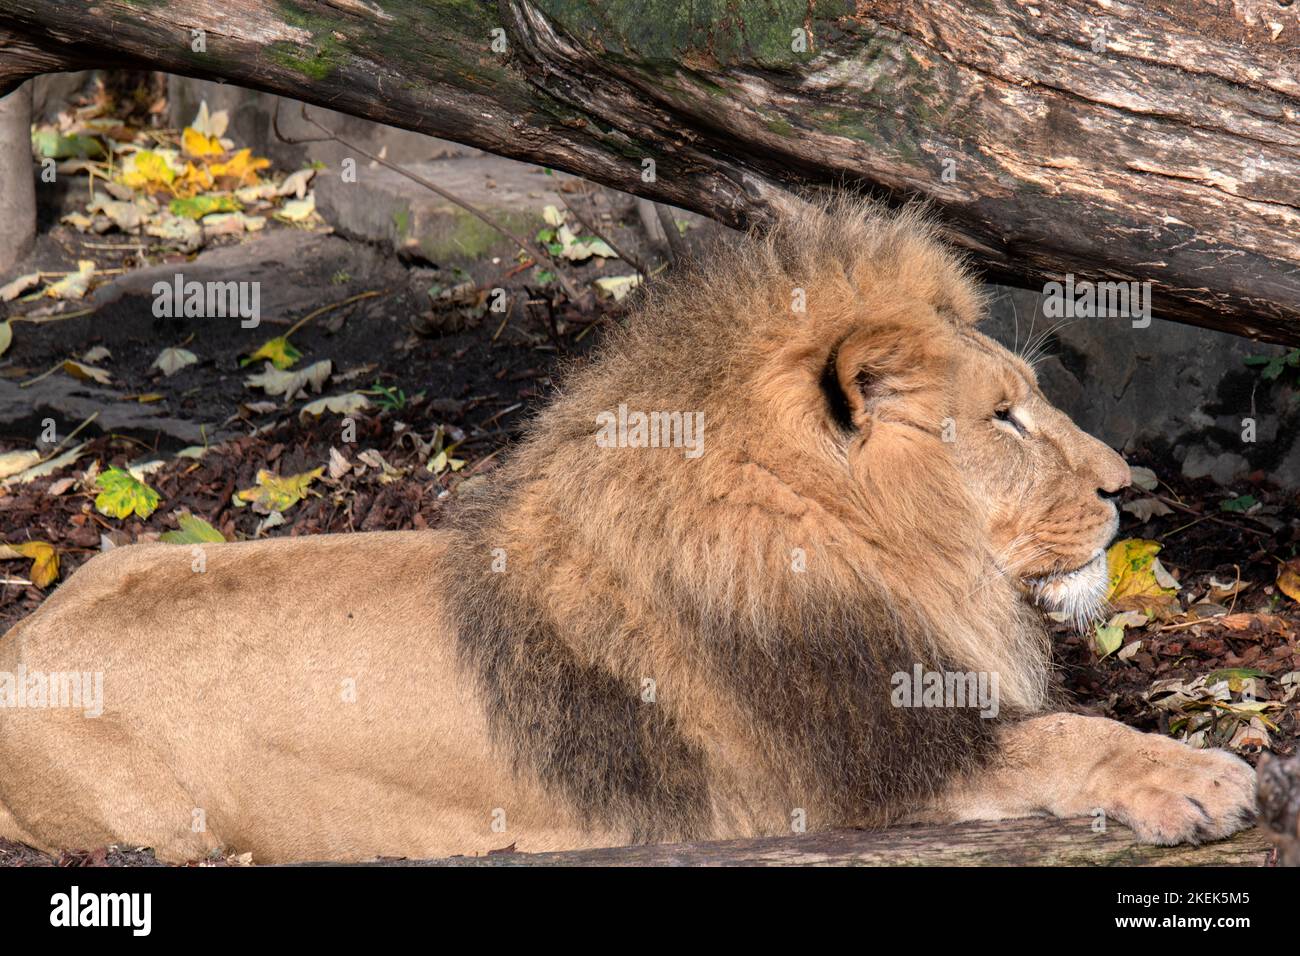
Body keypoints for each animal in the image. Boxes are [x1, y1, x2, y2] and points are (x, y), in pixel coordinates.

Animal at [0, 198, 1255, 863]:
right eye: (1001, 415)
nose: (1124, 484)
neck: (869, 558)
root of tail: (21, 636)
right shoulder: (836, 780)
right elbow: (1064, 736)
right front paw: (1202, 775)